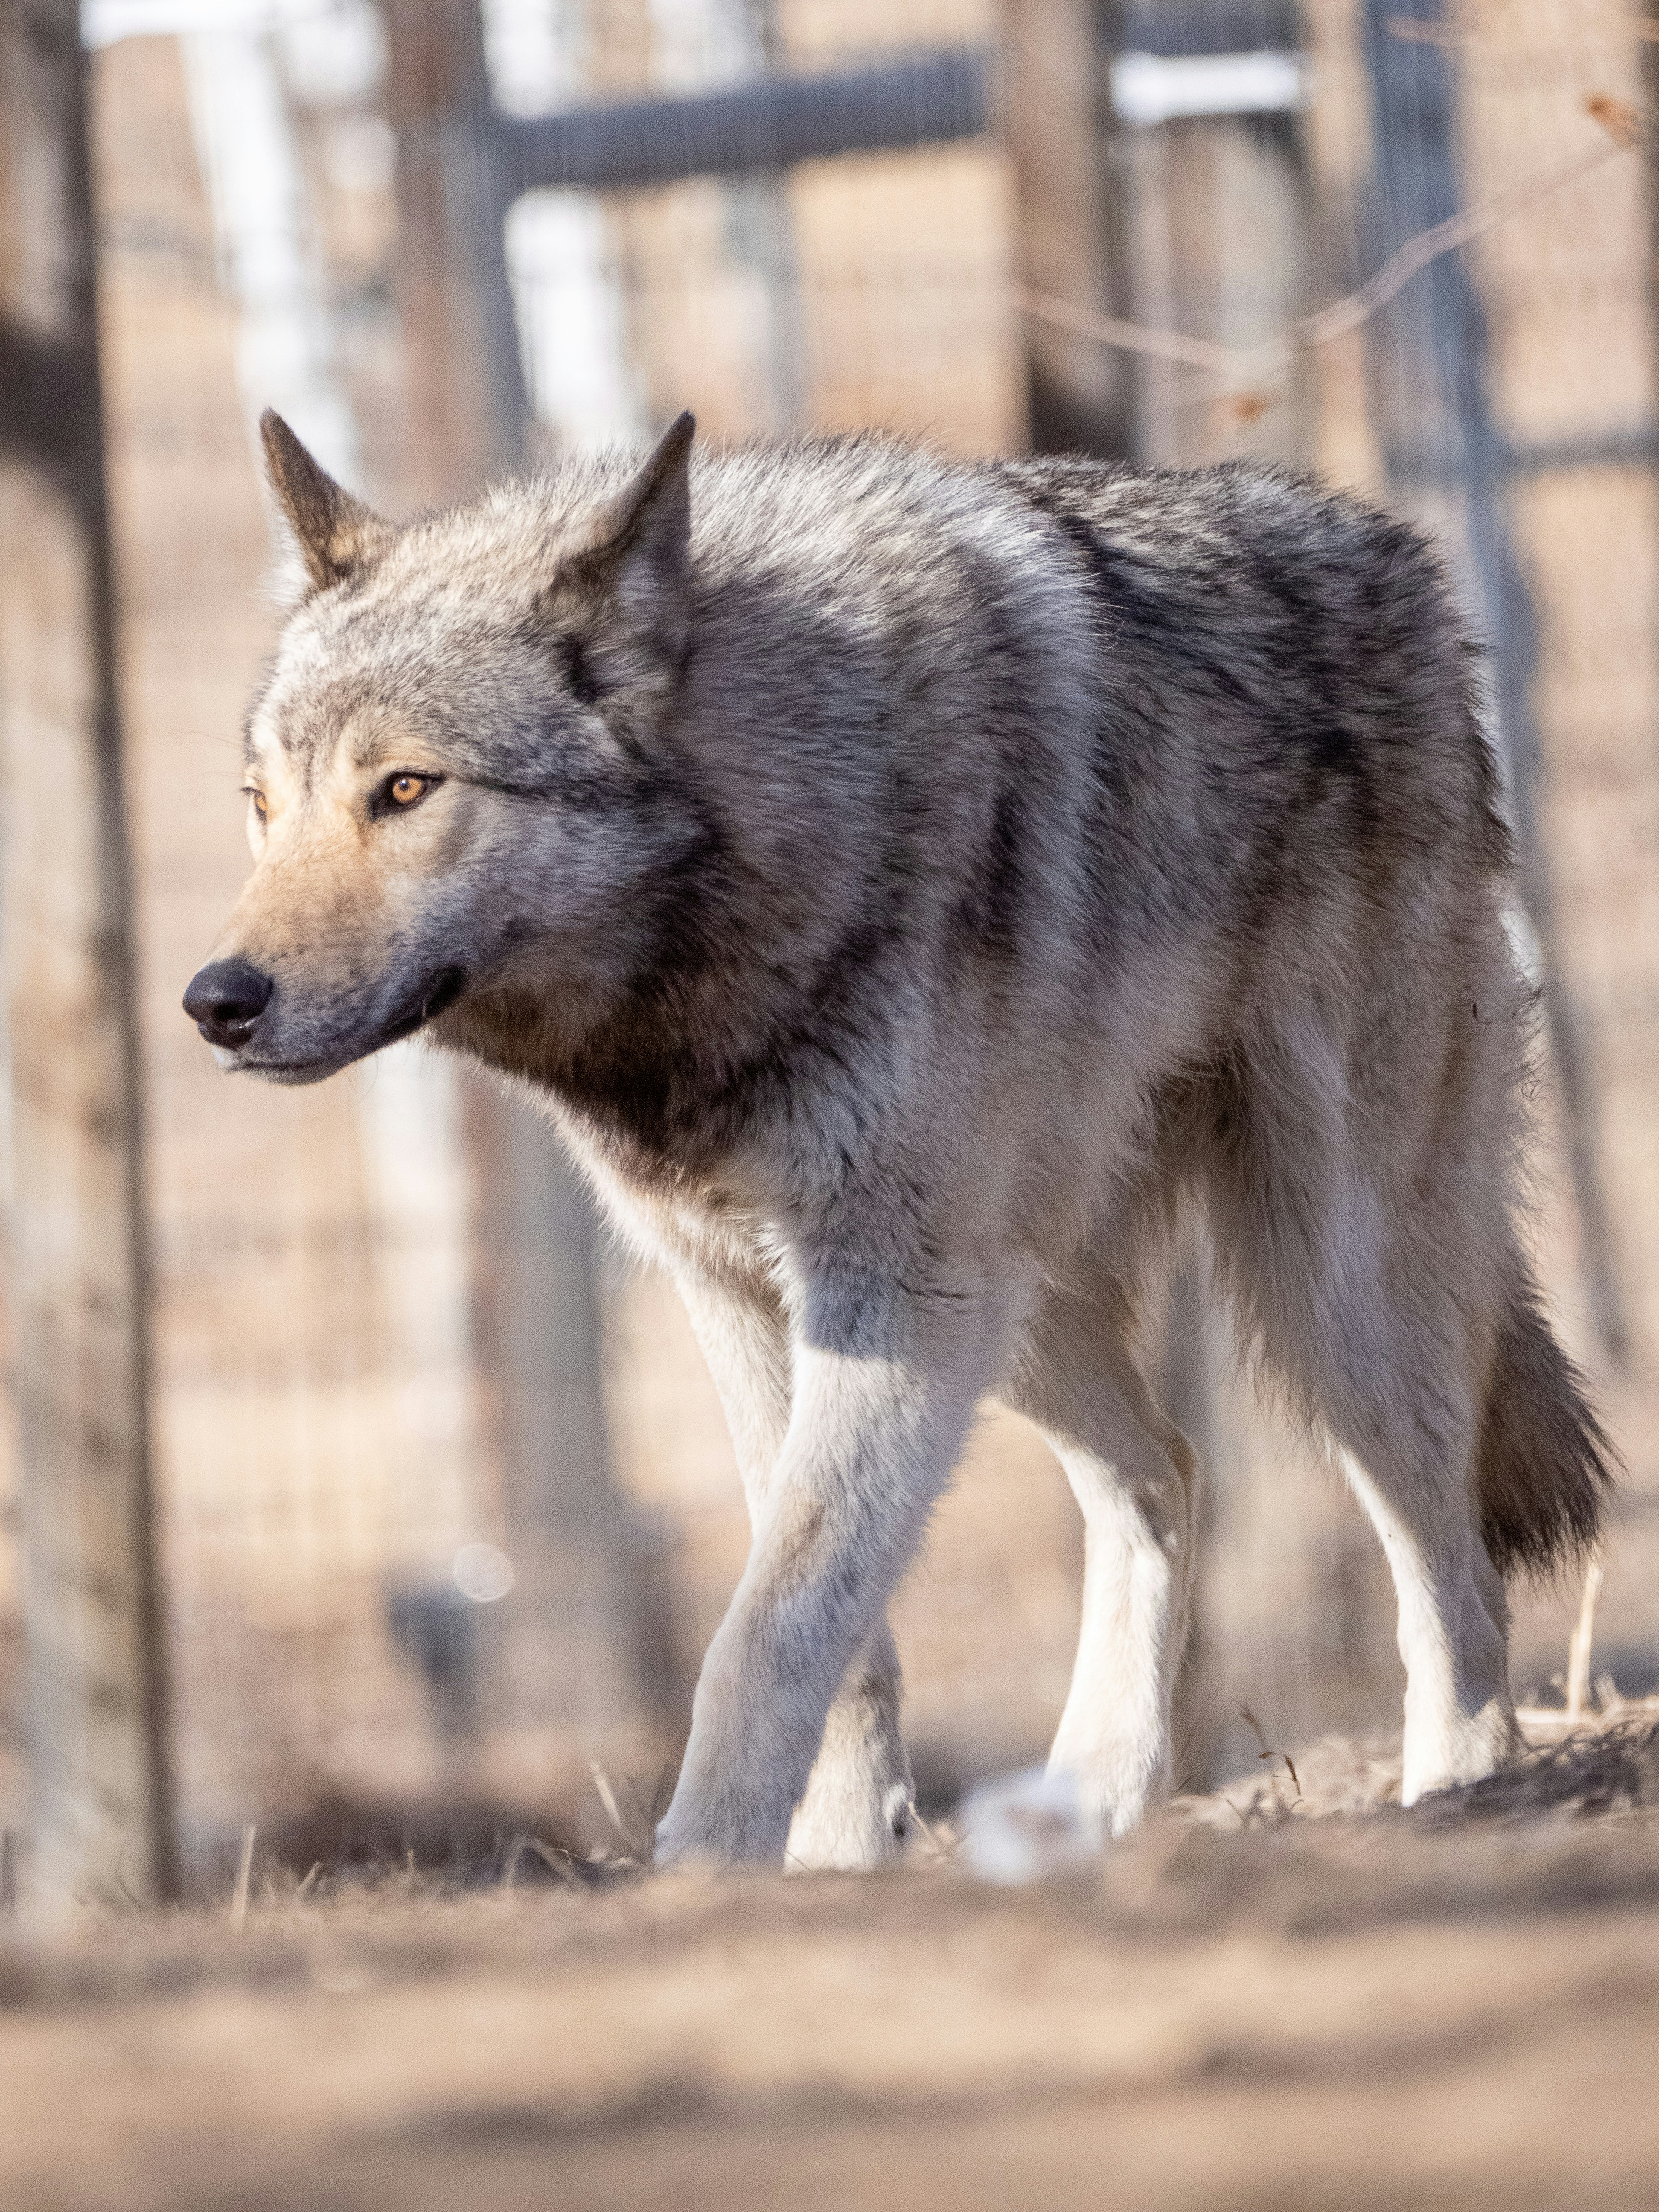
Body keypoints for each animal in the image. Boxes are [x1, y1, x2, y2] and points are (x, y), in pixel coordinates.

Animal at [184, 408, 1613, 1869]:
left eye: (407, 790)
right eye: (261, 802)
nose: (217, 1002)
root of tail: (1406, 566)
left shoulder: (889, 1293)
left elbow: (767, 1626)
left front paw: (706, 1863)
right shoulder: (750, 1296)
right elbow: (829, 1623)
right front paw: (830, 1860)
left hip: (1322, 1295)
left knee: (1445, 1549)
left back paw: (1459, 1791)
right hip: (1020, 1306)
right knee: (1167, 1472)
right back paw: (1093, 1803)